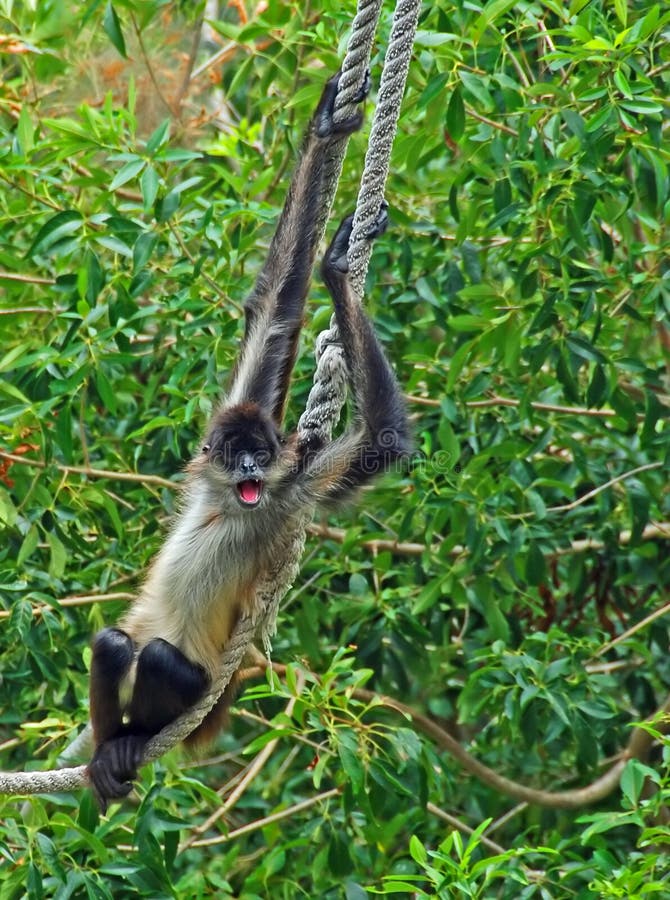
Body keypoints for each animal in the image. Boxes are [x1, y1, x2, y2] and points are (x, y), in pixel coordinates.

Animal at [87, 71, 411, 812]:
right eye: (235, 453)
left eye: (260, 455)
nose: (247, 469)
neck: (230, 505)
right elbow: (274, 315)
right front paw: (325, 129)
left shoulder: (290, 487)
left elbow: (381, 439)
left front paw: (337, 269)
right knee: (116, 643)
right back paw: (105, 752)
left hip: (206, 697)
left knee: (159, 658)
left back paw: (127, 747)